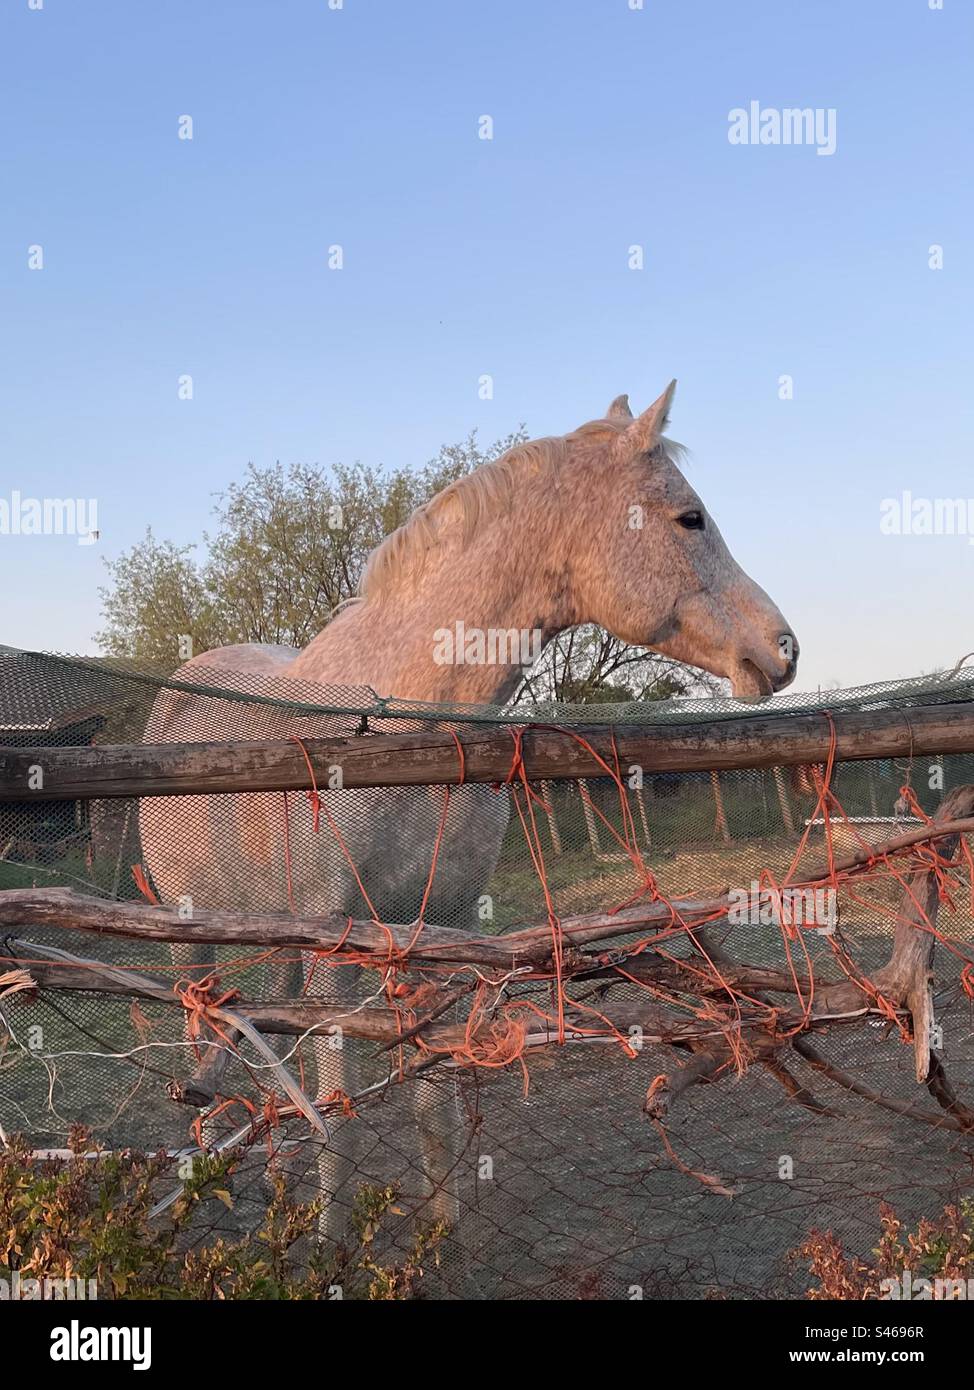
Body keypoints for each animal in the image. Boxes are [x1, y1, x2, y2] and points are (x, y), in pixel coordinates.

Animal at [139, 380, 799, 1247]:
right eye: (689, 517)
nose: (782, 650)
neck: (400, 731)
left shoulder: (445, 934)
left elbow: (435, 1105)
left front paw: (443, 1243)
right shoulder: (334, 954)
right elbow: (338, 1124)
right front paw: (328, 1249)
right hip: (195, 938)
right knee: (207, 1044)